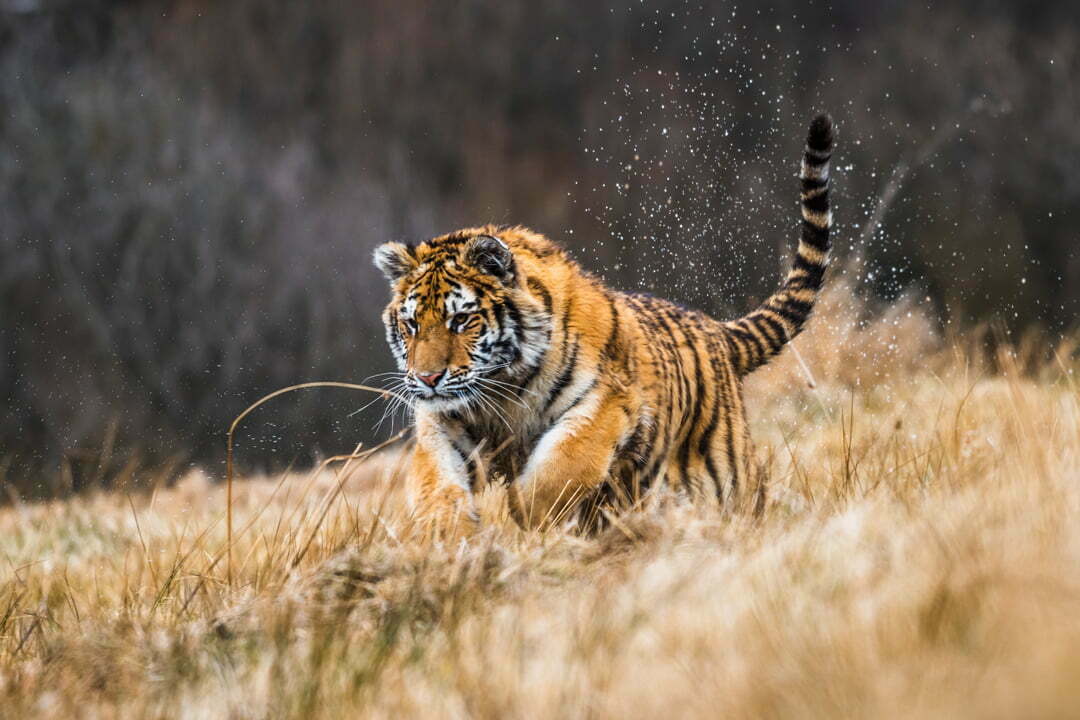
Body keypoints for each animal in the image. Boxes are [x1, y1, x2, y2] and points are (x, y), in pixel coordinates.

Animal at [373, 114, 834, 534]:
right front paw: (448, 535)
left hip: (727, 474)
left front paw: (524, 515)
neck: (503, 391)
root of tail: (715, 329)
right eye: (411, 324)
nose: (428, 378)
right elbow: (435, 481)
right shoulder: (443, 422)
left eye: (461, 320)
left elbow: (562, 466)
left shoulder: (606, 403)